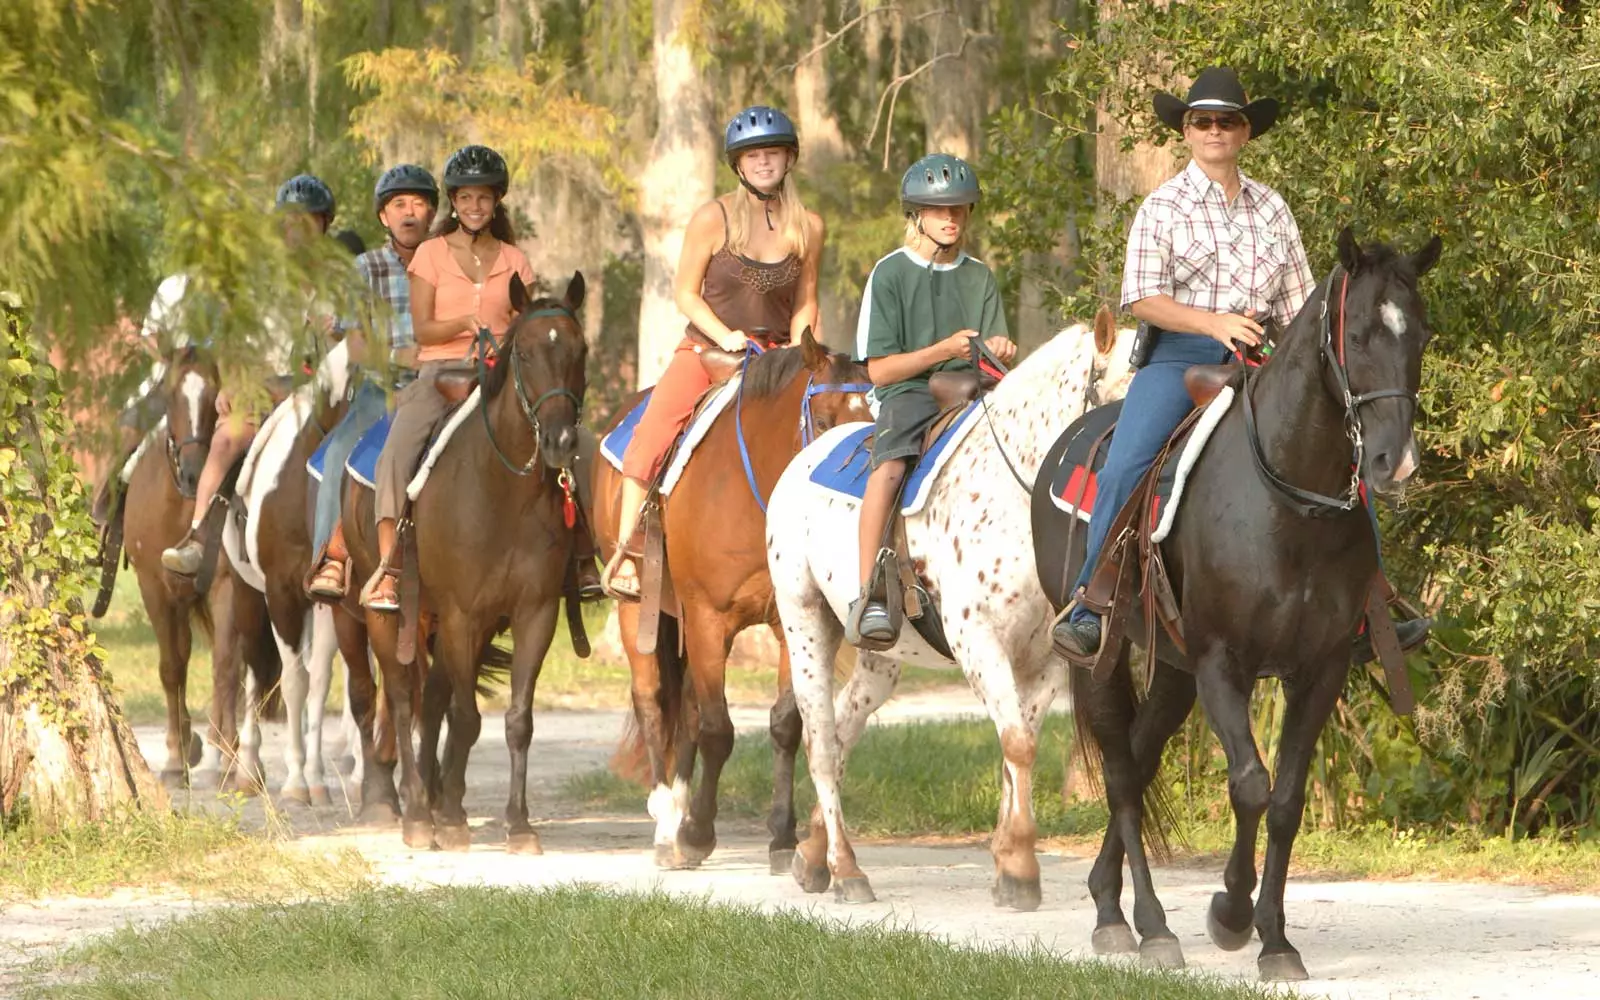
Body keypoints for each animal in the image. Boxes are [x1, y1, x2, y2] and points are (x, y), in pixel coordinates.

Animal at [342, 275, 588, 851]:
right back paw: (415, 812)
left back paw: (433, 799)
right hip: (389, 614)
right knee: (403, 699)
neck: (503, 493)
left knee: (430, 701)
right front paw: (449, 820)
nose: (561, 441)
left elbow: (515, 719)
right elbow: (466, 716)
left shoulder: (533, 613)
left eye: (580, 351)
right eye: (524, 352)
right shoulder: (462, 614)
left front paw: (516, 824)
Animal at [592, 331, 876, 870]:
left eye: (874, 424)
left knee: (684, 707)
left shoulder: (790, 621)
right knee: (653, 701)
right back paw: (667, 823)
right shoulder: (707, 619)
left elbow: (786, 724)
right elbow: (718, 730)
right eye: (825, 419)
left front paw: (782, 836)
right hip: (636, 609)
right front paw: (698, 832)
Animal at [768, 310, 1132, 902]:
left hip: (881, 659)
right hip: (804, 622)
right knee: (821, 742)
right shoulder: (978, 639)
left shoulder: (1047, 657)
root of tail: (803, 459)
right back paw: (847, 869)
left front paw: (1009, 856)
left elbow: (1021, 743)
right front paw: (1020, 869)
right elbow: (1016, 742)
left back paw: (814, 855)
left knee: (845, 729)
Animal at [1030, 224, 1446, 972]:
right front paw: (1228, 914)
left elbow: (1285, 800)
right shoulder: (1225, 663)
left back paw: (1109, 901)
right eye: (1359, 334)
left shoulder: (1320, 670)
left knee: (1140, 757)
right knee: (1122, 775)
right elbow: (1249, 783)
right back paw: (1146, 926)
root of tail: (1070, 439)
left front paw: (1274, 939)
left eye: (1422, 334)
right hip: (1102, 658)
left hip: (1173, 669)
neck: (1288, 503)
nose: (1393, 462)